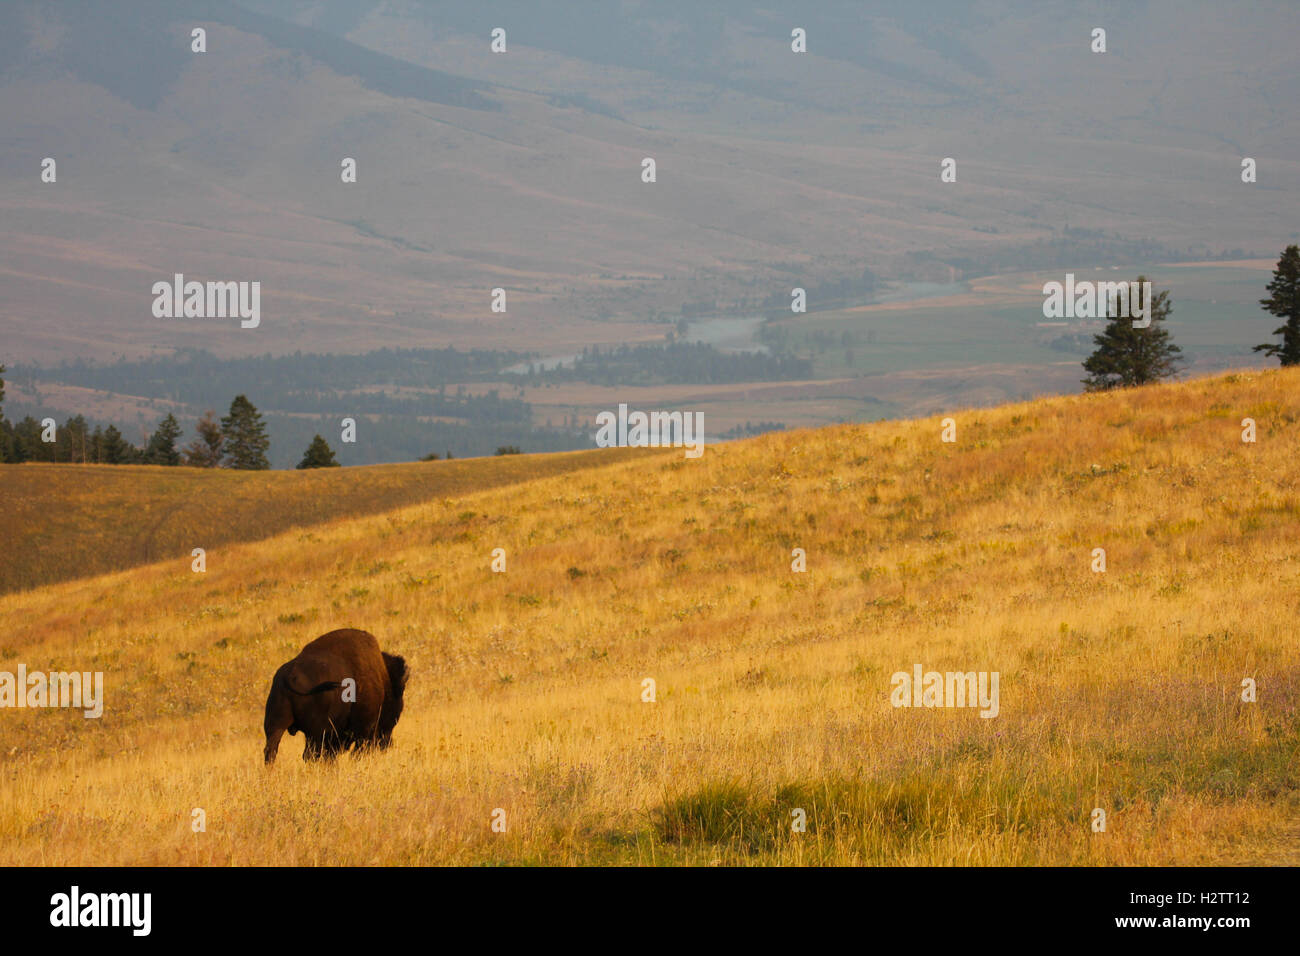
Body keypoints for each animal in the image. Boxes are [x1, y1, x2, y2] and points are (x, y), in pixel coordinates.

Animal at [263, 628, 408, 765]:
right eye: (397, 696)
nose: (387, 744)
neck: (384, 679)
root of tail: (290, 676)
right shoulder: (364, 728)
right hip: (315, 732)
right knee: (310, 754)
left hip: (276, 724)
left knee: (271, 750)